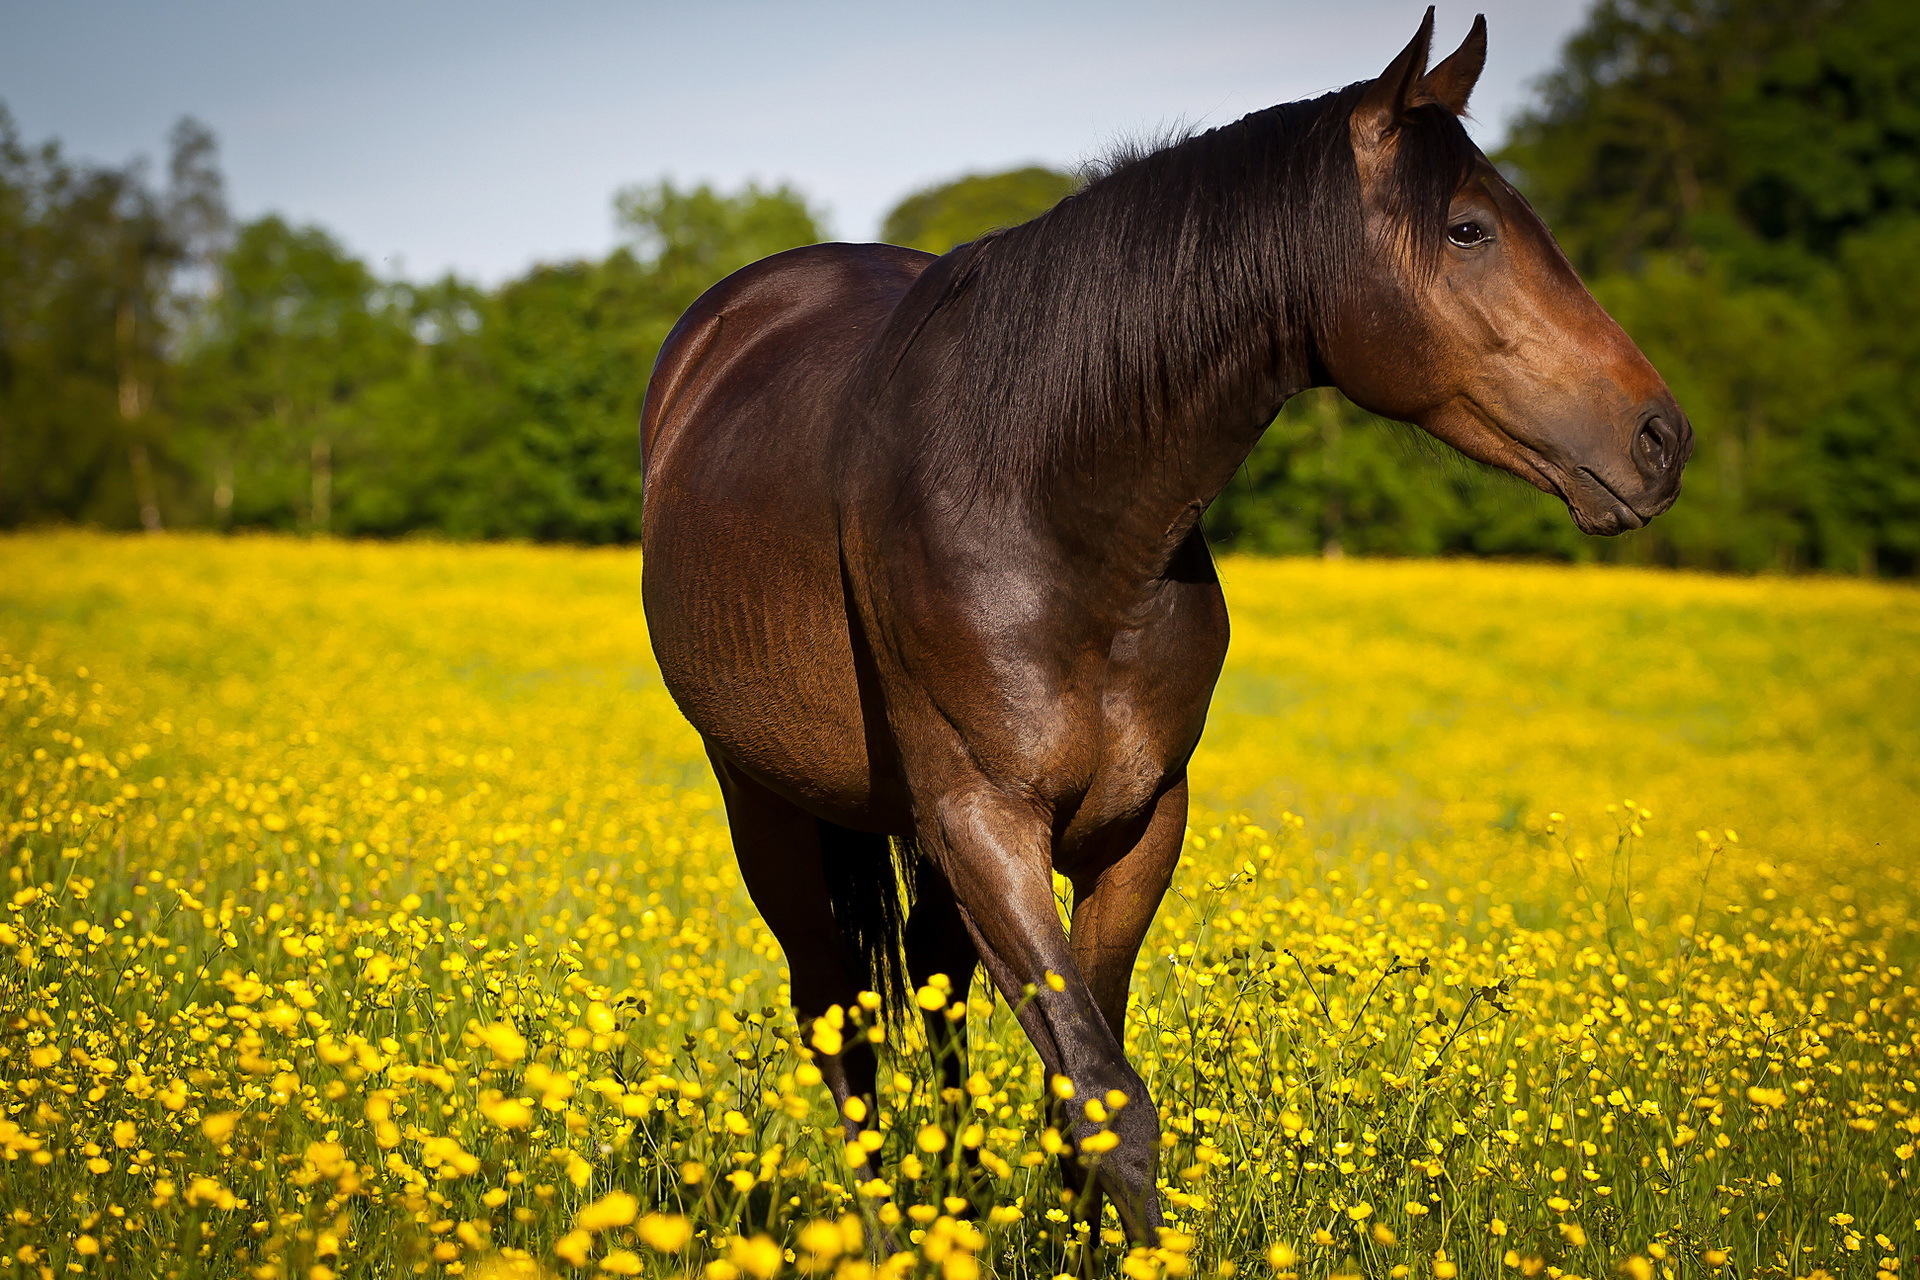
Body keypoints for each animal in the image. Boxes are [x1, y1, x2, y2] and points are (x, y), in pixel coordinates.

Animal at [638, 8, 1690, 1243]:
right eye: (1469, 230)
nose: (1661, 437)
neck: (1049, 504)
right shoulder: (986, 822)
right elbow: (1107, 1098)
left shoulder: (1138, 824)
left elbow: (1081, 1093)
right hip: (767, 802)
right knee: (836, 1009)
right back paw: (888, 1230)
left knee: (936, 996)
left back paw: (948, 1206)